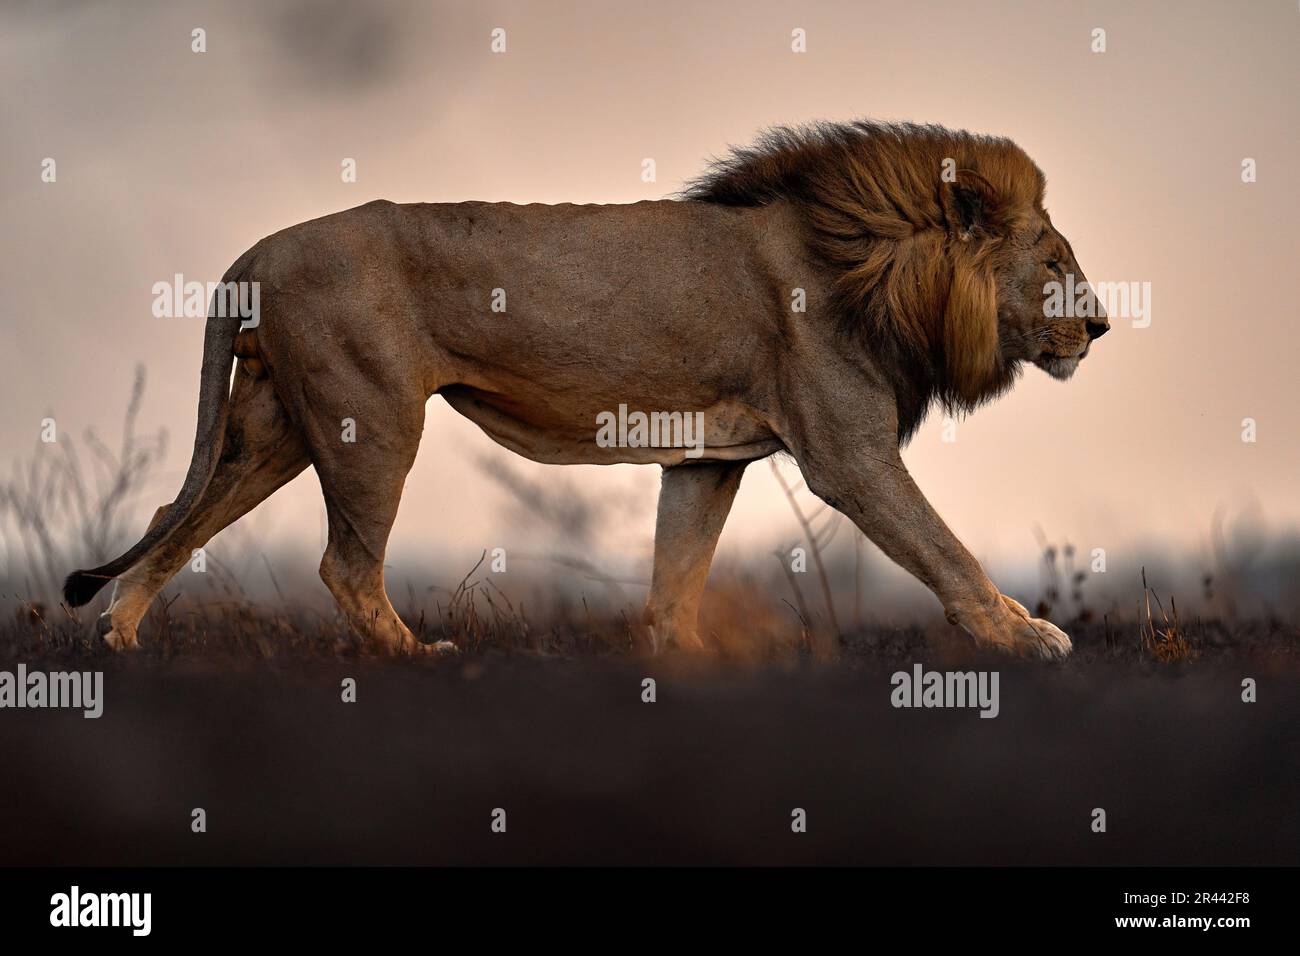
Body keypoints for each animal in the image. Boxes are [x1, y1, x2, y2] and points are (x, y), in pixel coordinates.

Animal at [64, 120, 1107, 659]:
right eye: (1055, 260)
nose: (1099, 325)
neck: (869, 261)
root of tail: (259, 250)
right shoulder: (848, 454)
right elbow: (946, 549)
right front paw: (1024, 636)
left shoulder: (703, 458)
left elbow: (676, 579)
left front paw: (685, 663)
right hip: (373, 421)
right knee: (344, 567)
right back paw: (416, 661)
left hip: (279, 425)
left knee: (173, 518)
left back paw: (118, 641)